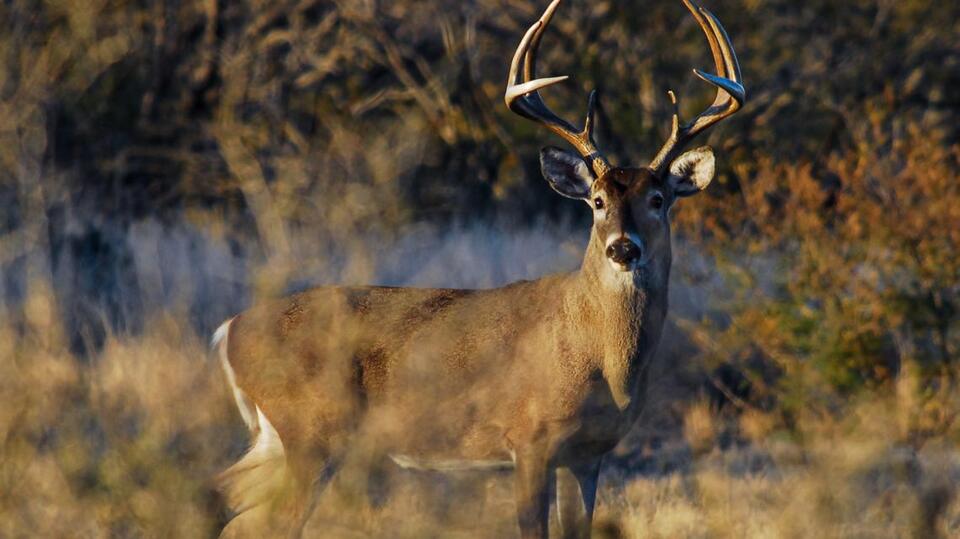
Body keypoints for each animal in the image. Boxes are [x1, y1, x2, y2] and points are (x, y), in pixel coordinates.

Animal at [212, 0, 744, 537]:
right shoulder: (530, 437)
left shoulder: (588, 454)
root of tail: (229, 328)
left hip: (278, 439)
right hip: (311, 432)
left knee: (220, 497)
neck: (600, 356)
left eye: (658, 199)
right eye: (596, 201)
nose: (622, 249)